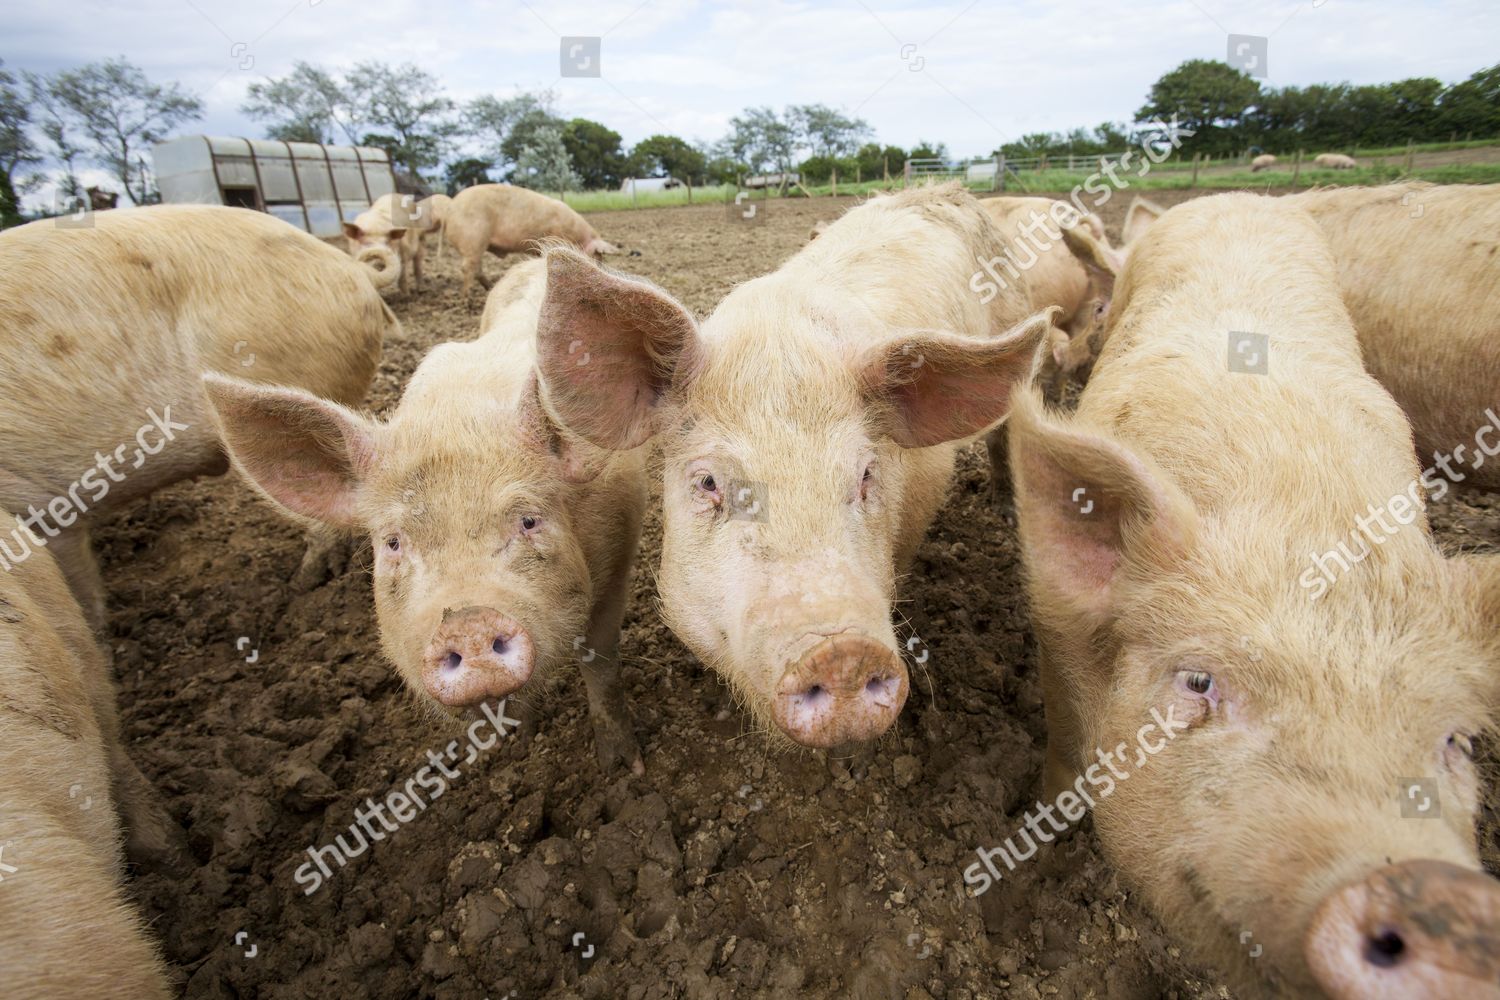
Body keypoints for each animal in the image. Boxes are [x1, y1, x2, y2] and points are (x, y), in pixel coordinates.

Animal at [202, 257, 651, 773]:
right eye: (394, 542)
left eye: (529, 520)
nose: (467, 623)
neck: (457, 419)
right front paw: (509, 741)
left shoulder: (619, 549)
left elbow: (600, 658)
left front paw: (624, 769)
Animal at [445, 184, 621, 301]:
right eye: (597, 256)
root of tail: (452, 208)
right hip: (473, 238)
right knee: (468, 268)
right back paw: (466, 300)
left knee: (477, 269)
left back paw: (489, 288)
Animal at [1005, 192, 1500, 997]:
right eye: (1199, 682)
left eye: (1459, 740)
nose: (1441, 904)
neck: (1307, 519)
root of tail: (1226, 196)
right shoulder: (1054, 625)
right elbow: (1065, 751)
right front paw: (1039, 838)